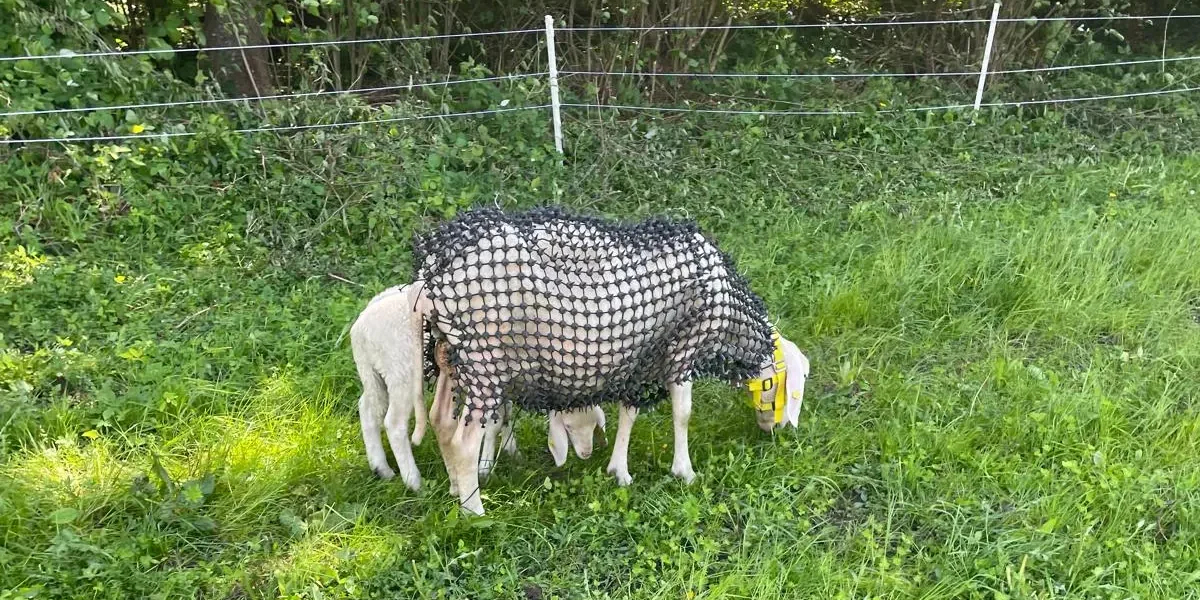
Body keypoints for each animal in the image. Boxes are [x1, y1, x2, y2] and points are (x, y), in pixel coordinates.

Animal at [412, 206, 811, 515]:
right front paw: (684, 472)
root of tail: (434, 268)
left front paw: (619, 470)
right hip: (485, 358)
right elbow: (682, 414)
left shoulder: (641, 357)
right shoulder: (684, 347)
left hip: (453, 355)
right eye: (780, 386)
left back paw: (456, 488)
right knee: (463, 440)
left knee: (441, 422)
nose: (776, 430)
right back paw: (474, 512)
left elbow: (628, 413)